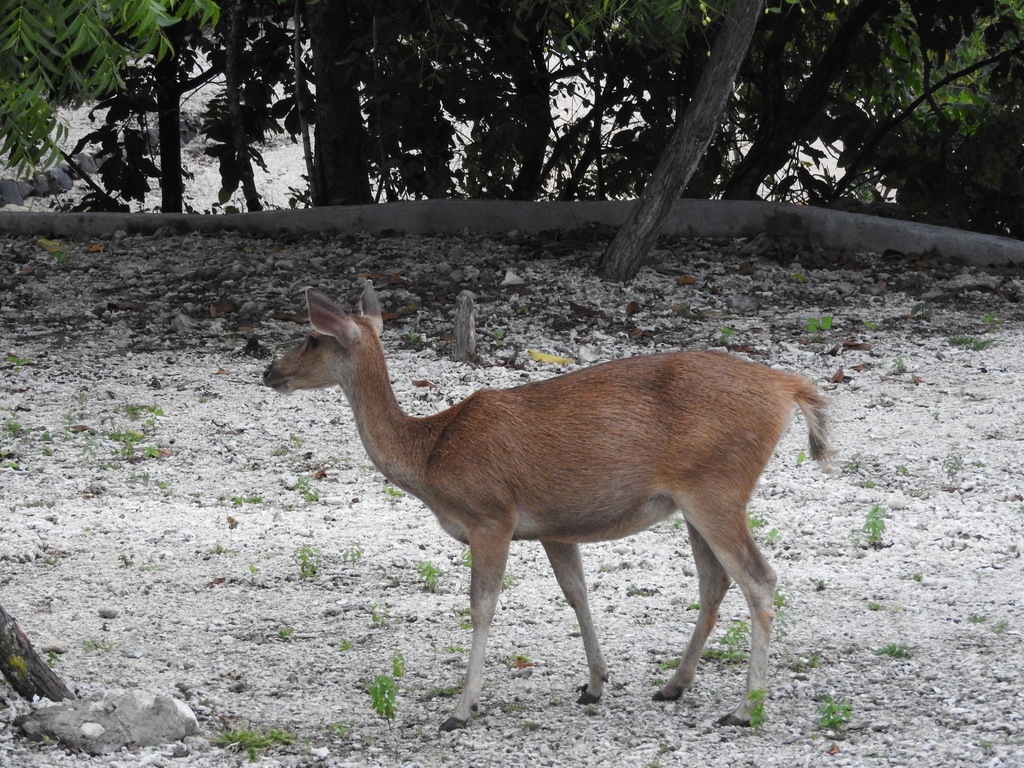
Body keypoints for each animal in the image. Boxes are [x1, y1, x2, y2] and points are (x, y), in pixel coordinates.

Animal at [263, 280, 833, 732]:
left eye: (311, 338)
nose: (270, 371)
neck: (430, 458)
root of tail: (789, 388)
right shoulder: (554, 527)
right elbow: (577, 594)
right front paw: (596, 684)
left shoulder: (490, 515)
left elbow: (482, 605)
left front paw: (461, 709)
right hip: (695, 499)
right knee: (715, 582)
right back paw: (673, 685)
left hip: (718, 485)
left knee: (759, 578)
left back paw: (744, 709)